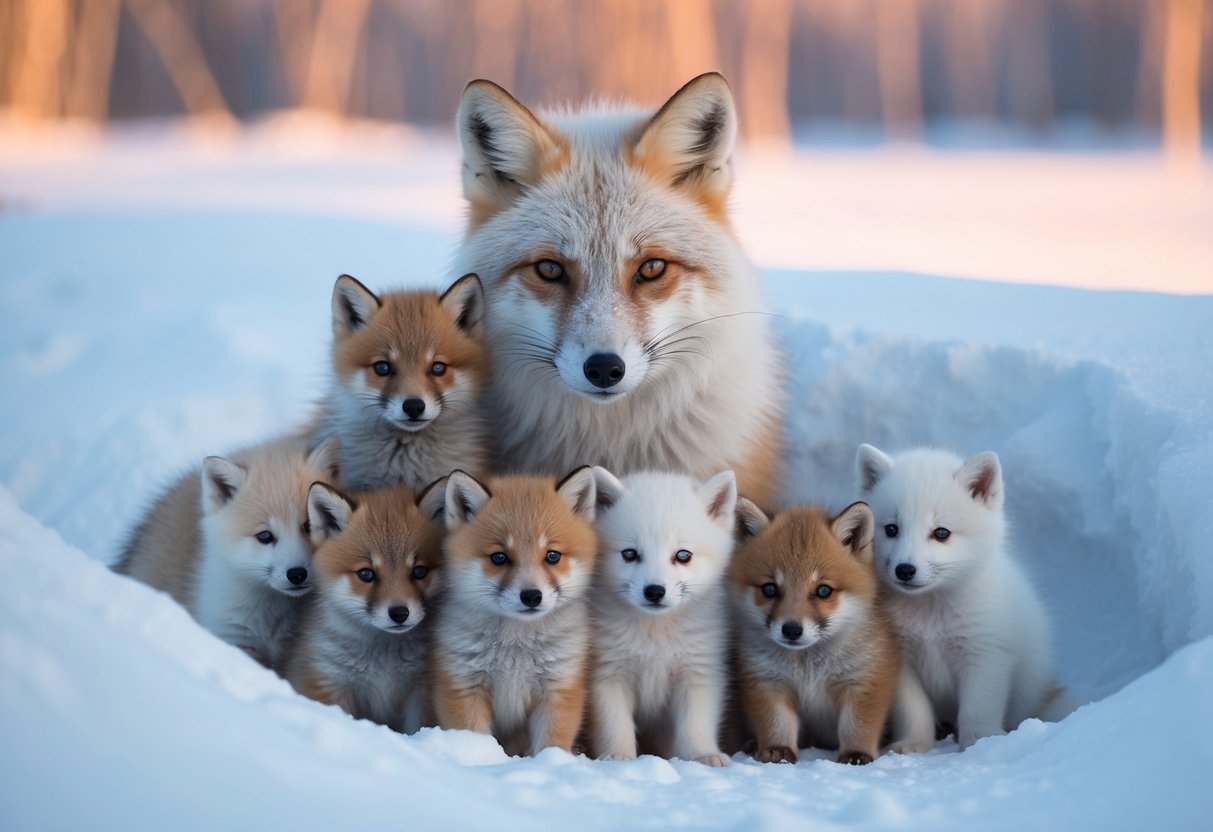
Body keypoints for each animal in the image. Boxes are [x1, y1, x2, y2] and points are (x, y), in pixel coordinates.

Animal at [281, 480, 447, 733]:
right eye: (366, 574)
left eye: (419, 571)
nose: (399, 613)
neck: (382, 664)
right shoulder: (328, 683)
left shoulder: (420, 692)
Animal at [431, 467, 598, 757]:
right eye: (499, 557)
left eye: (552, 556)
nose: (531, 596)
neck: (515, 652)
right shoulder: (463, 686)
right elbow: (475, 740)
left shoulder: (558, 690)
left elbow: (550, 745)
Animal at [588, 468, 738, 767]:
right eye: (630, 554)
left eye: (683, 555)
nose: (655, 591)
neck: (654, 633)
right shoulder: (607, 675)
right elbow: (615, 725)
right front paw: (618, 757)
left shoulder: (698, 673)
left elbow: (695, 725)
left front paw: (703, 755)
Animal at [730, 500, 936, 765]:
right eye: (770, 589)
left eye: (823, 590)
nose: (792, 630)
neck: (809, 670)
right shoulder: (767, 681)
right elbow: (777, 725)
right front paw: (777, 751)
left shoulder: (865, 680)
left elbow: (857, 726)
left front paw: (856, 754)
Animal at [856, 444, 1057, 750]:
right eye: (891, 529)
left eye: (941, 533)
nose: (905, 570)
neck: (929, 614)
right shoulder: (901, 662)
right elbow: (913, 711)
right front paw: (913, 744)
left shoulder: (985, 654)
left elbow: (978, 708)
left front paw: (980, 743)